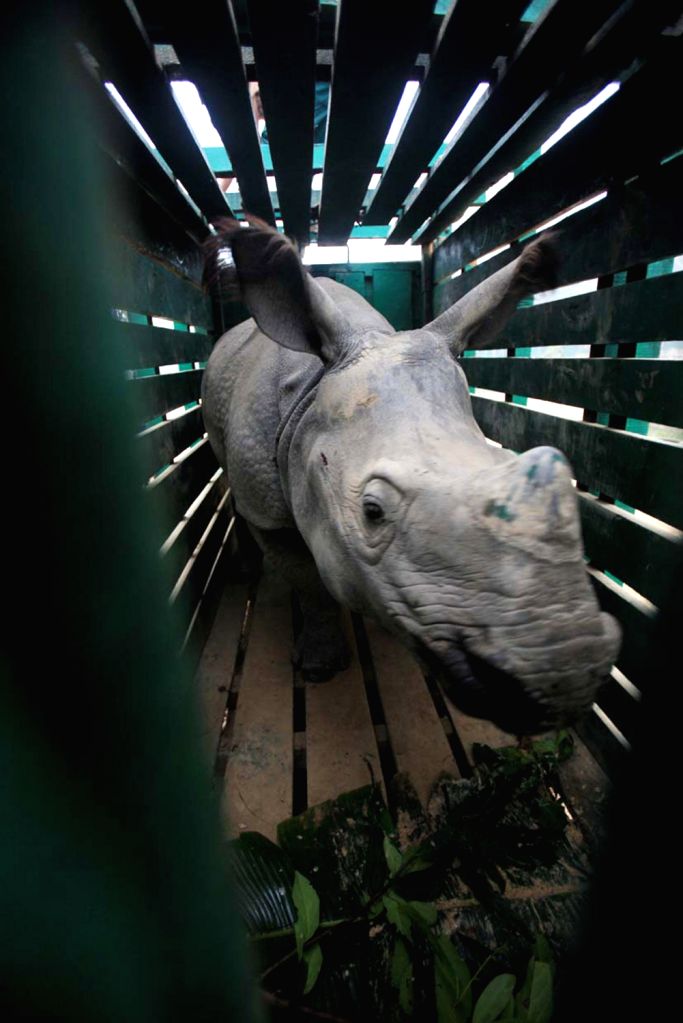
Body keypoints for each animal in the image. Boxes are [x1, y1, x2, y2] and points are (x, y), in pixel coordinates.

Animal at [202, 219, 620, 735]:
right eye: (371, 511)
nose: (569, 673)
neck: (312, 393)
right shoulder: (269, 511)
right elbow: (309, 584)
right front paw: (321, 668)